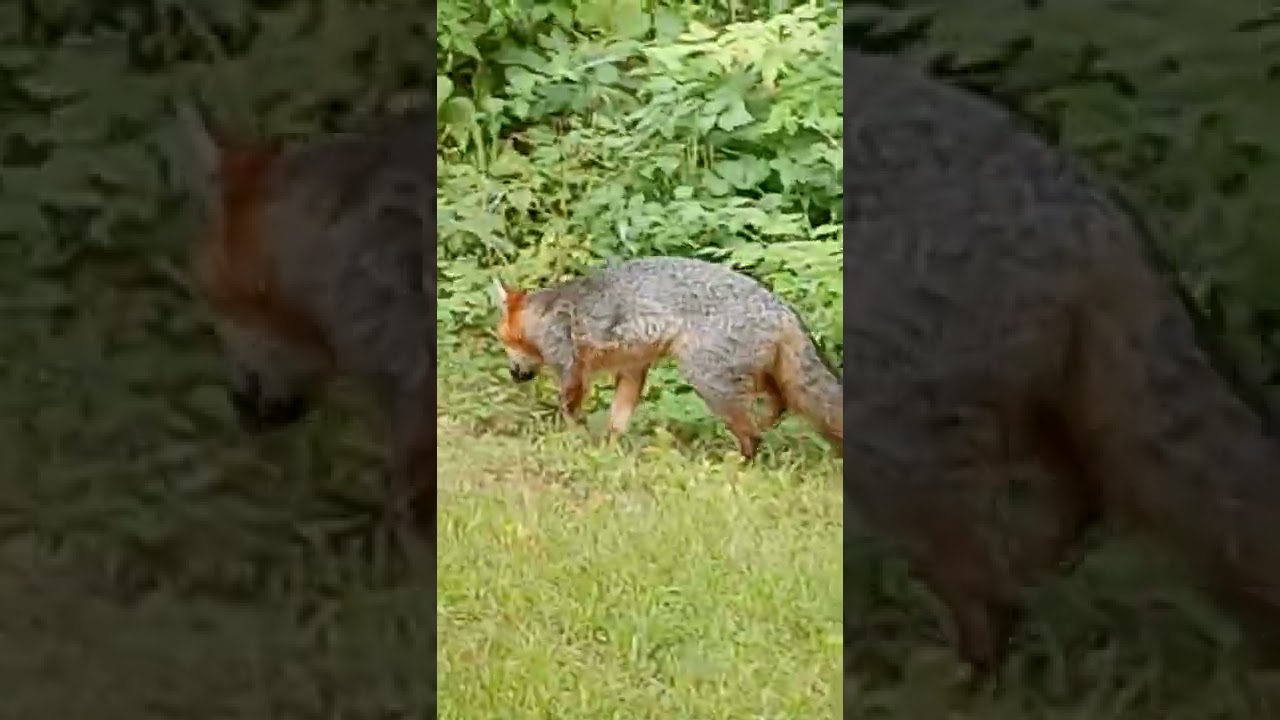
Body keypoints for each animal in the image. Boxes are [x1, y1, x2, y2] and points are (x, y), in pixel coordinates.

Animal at [492, 256, 842, 460]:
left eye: (503, 341)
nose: (513, 374)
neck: (545, 316)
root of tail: (779, 305)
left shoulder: (571, 369)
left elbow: (569, 413)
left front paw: (572, 442)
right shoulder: (633, 368)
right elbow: (617, 420)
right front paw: (609, 451)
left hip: (709, 381)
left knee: (753, 435)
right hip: (759, 378)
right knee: (780, 405)